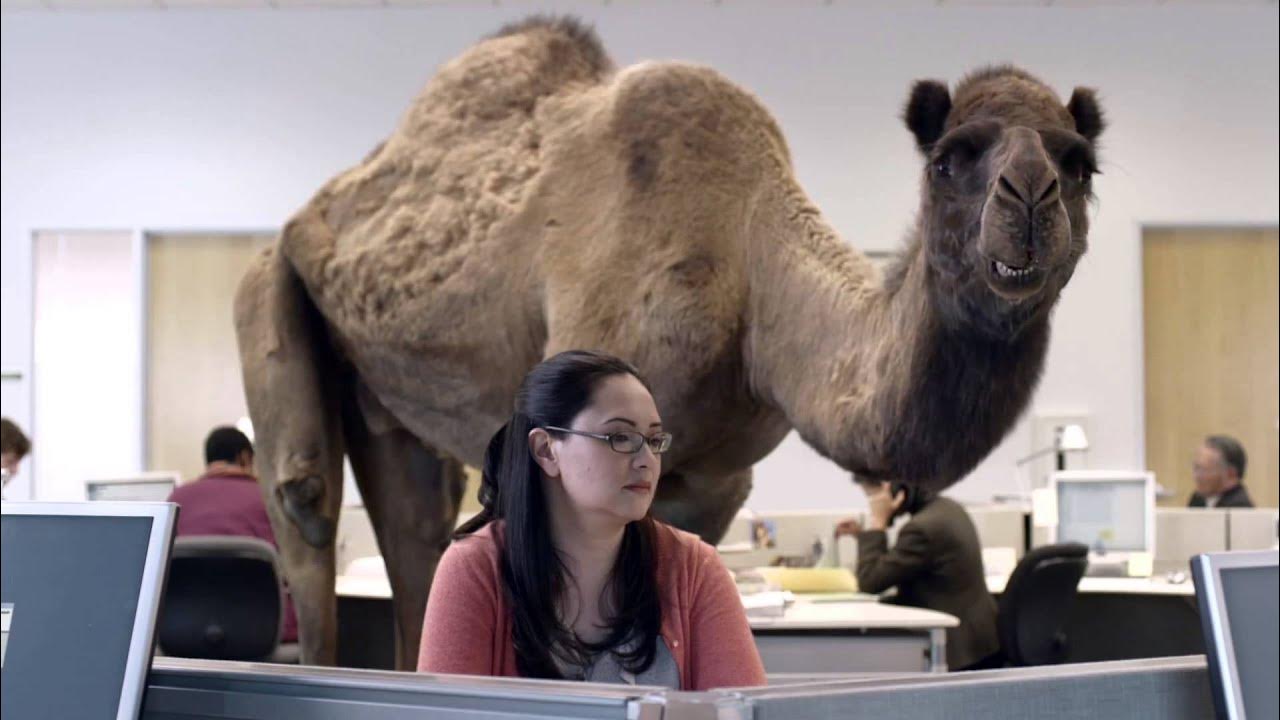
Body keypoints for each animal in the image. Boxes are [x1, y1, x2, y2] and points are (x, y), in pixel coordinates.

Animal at [234, 16, 1105, 669]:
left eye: (1080, 162)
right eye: (952, 157)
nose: (1029, 198)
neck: (748, 264)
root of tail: (330, 197)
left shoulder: (714, 477)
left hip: (384, 386)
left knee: (417, 522)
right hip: (269, 283)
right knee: (305, 496)